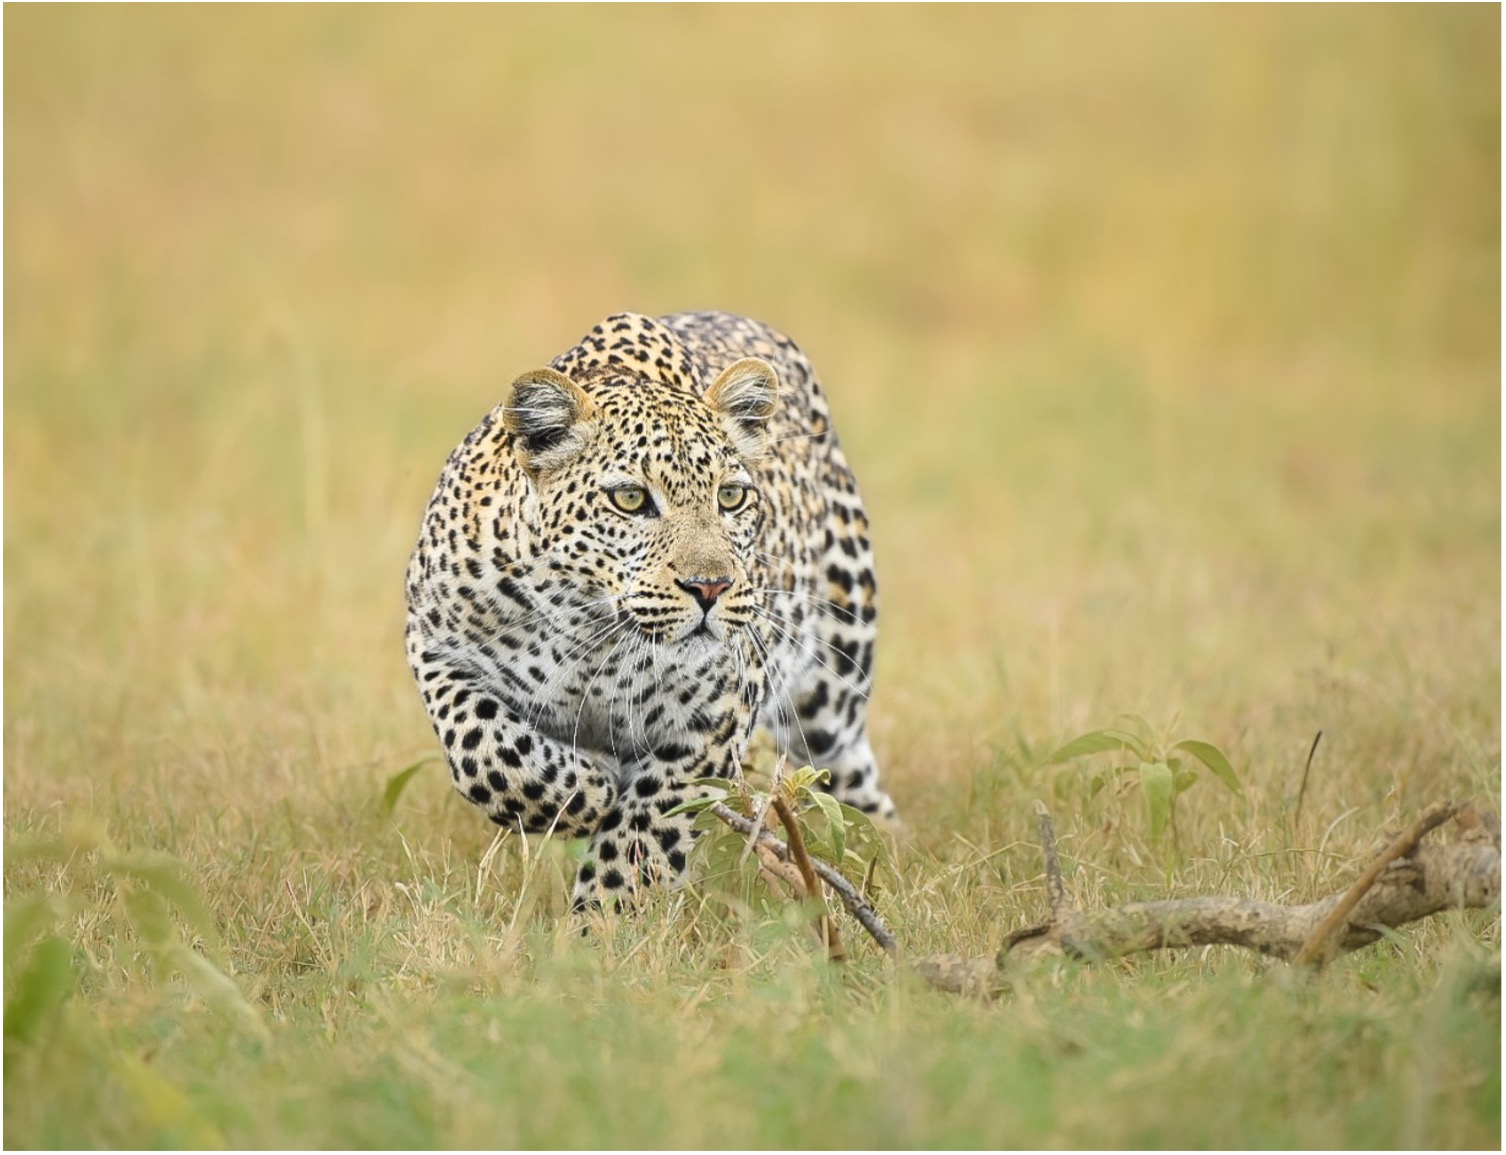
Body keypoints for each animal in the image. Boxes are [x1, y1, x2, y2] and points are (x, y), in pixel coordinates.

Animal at [404, 310, 892, 908]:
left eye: (730, 496)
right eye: (631, 499)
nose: (710, 587)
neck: (586, 626)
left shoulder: (715, 717)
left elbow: (644, 836)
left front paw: (606, 920)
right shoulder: (435, 650)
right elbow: (486, 752)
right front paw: (584, 793)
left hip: (835, 681)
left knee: (851, 780)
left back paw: (880, 865)